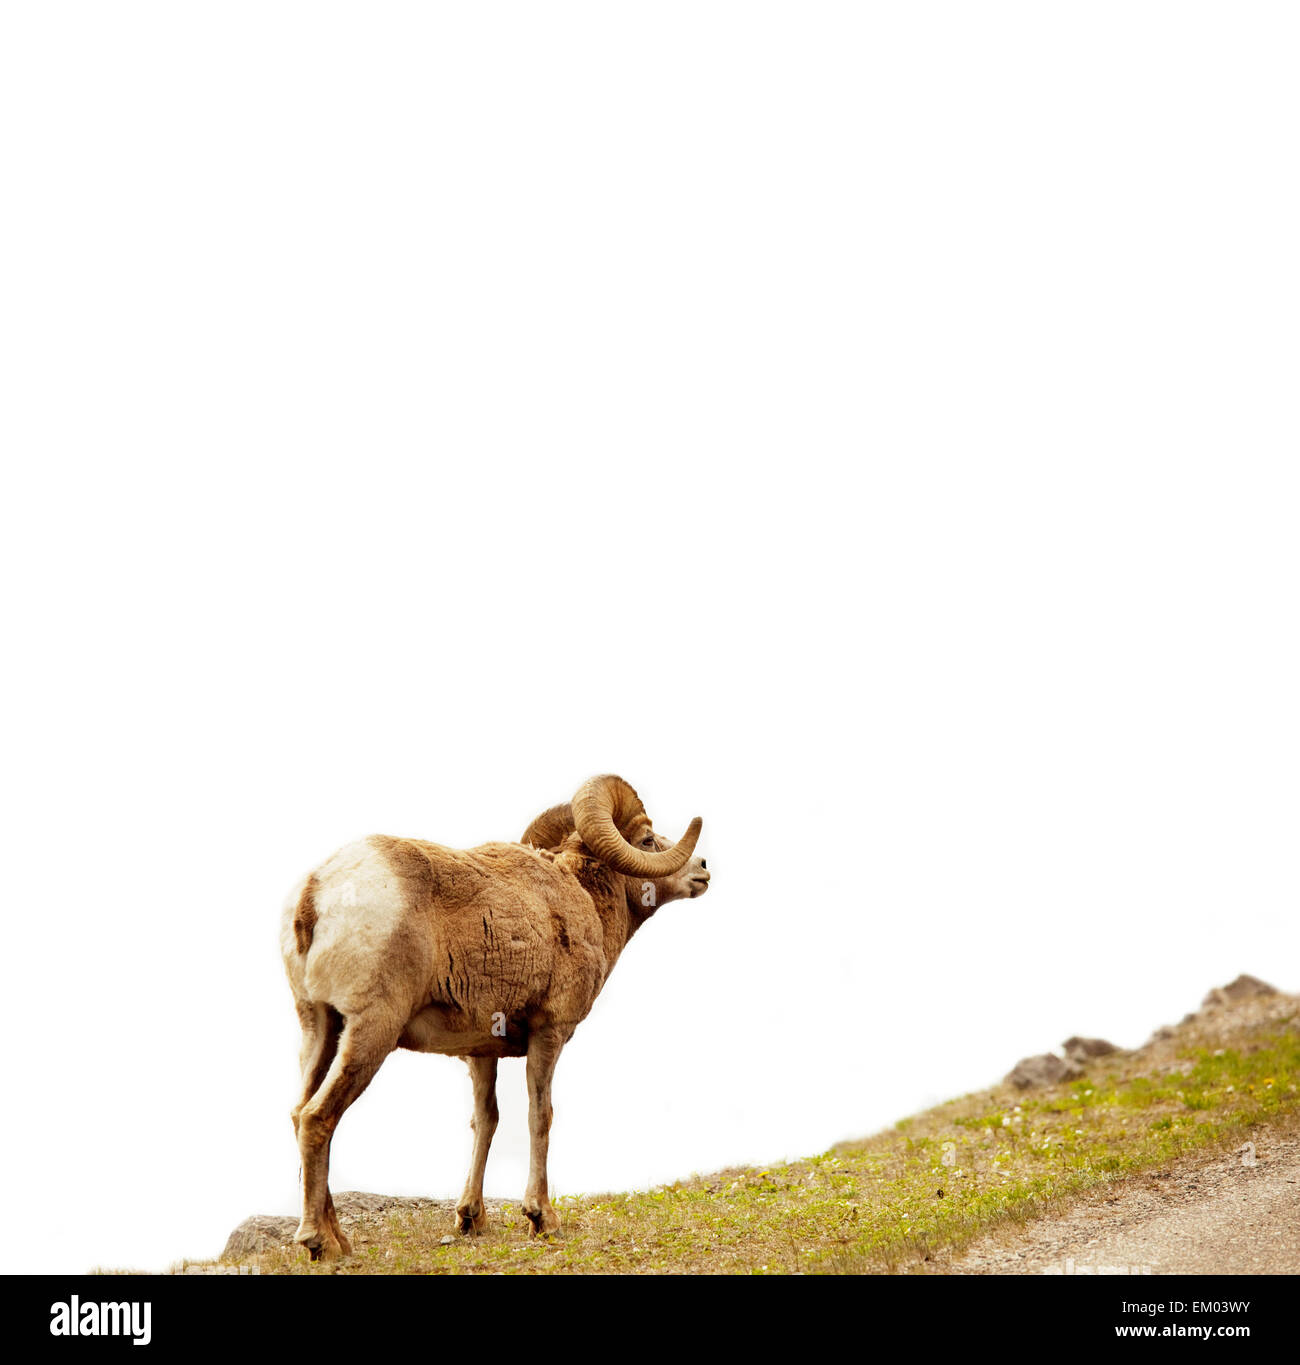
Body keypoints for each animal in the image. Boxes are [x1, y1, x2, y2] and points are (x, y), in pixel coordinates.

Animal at [280, 774, 709, 1259]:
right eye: (648, 840)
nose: (703, 868)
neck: (581, 901)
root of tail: (316, 892)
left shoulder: (480, 1052)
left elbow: (486, 1120)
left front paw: (471, 1219)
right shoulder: (548, 1033)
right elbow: (540, 1115)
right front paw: (542, 1219)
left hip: (319, 1029)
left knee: (299, 1113)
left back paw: (341, 1240)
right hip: (371, 1031)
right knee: (318, 1117)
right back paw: (319, 1242)